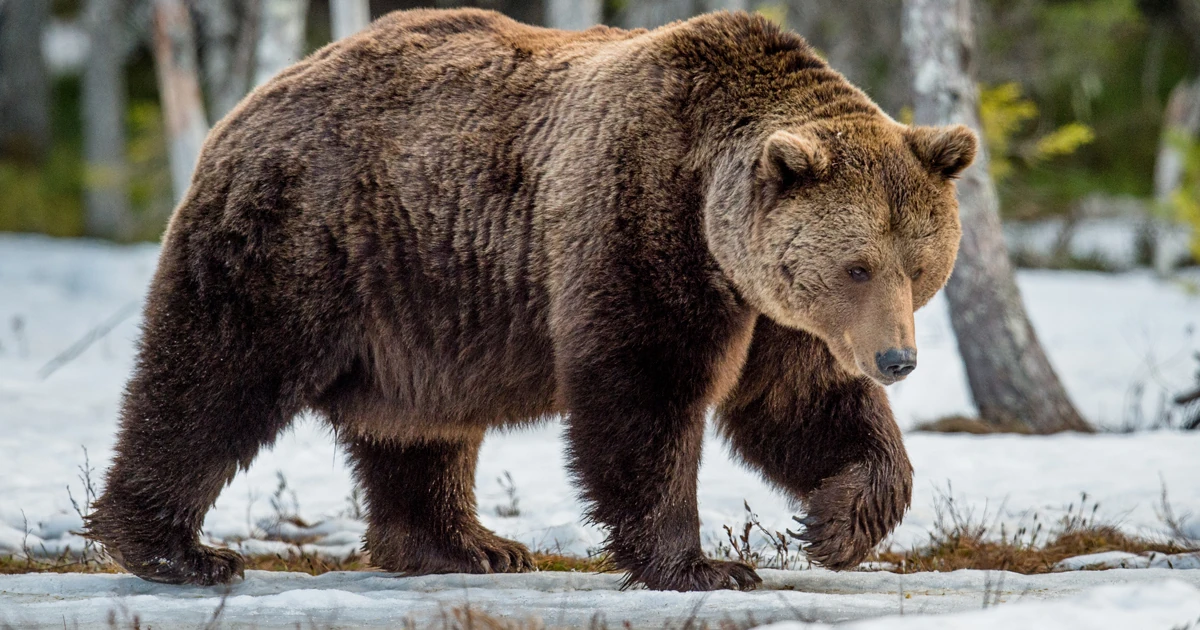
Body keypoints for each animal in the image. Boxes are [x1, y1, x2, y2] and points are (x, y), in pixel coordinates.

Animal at [85, 8, 976, 592]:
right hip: (301, 246)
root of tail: (248, 106)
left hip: (415, 308)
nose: (897, 359)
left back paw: (467, 545)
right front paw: (704, 565)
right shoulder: (637, 226)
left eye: (920, 264)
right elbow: (644, 395)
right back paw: (176, 550)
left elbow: (800, 404)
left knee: (418, 431)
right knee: (214, 380)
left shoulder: (771, 310)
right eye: (857, 265)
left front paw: (834, 525)